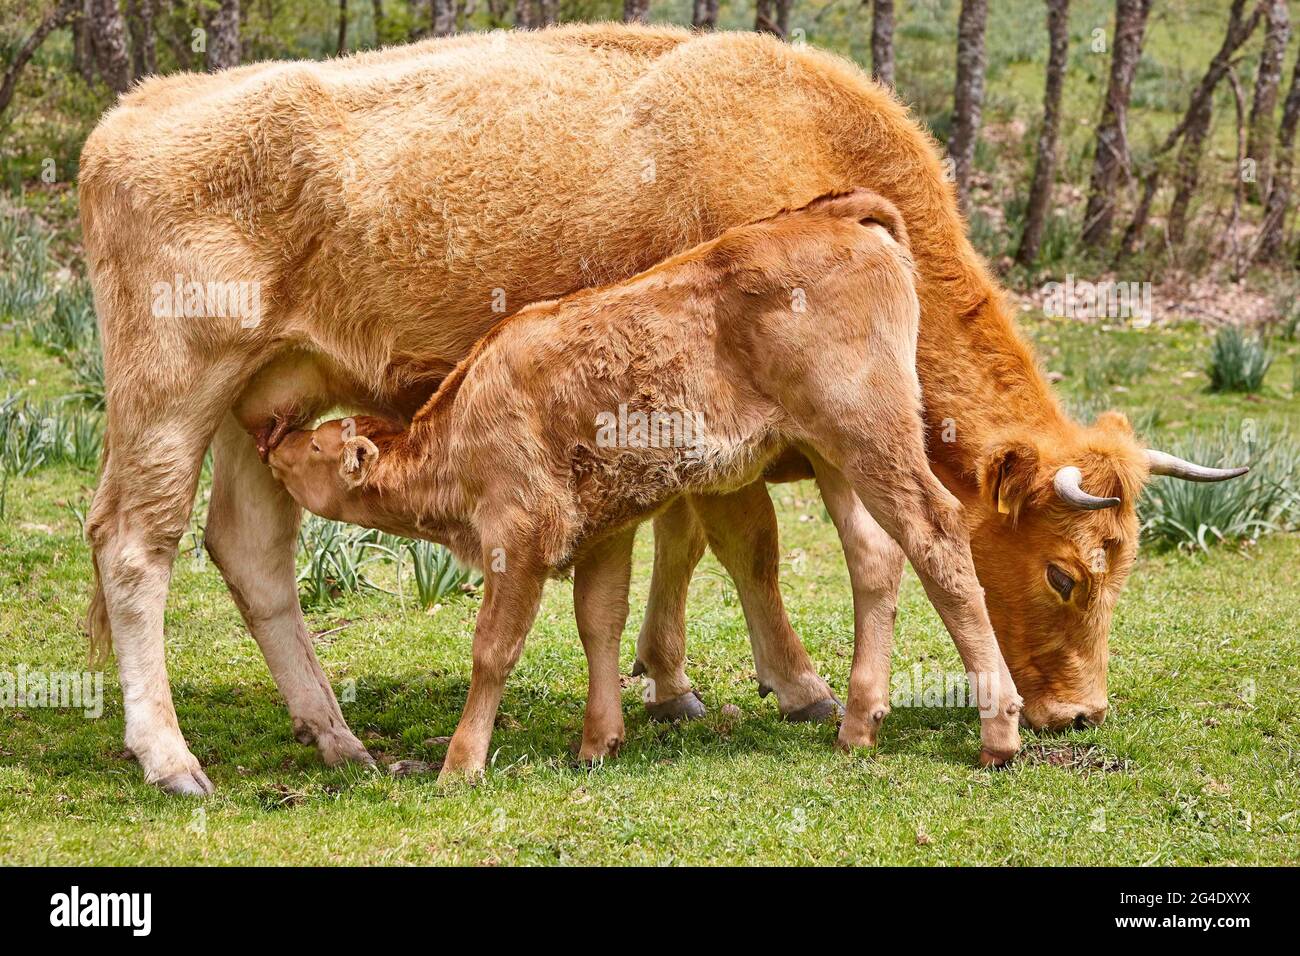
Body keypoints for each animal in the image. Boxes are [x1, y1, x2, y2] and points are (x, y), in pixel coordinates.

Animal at [265, 189, 1025, 780]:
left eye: (319, 445)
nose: (274, 439)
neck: (461, 428)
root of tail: (838, 218)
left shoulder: (519, 539)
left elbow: (494, 649)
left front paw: (461, 763)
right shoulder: (603, 530)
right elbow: (598, 622)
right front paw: (599, 742)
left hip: (872, 438)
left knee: (936, 535)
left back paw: (998, 732)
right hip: (836, 457)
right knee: (874, 557)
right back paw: (858, 725)